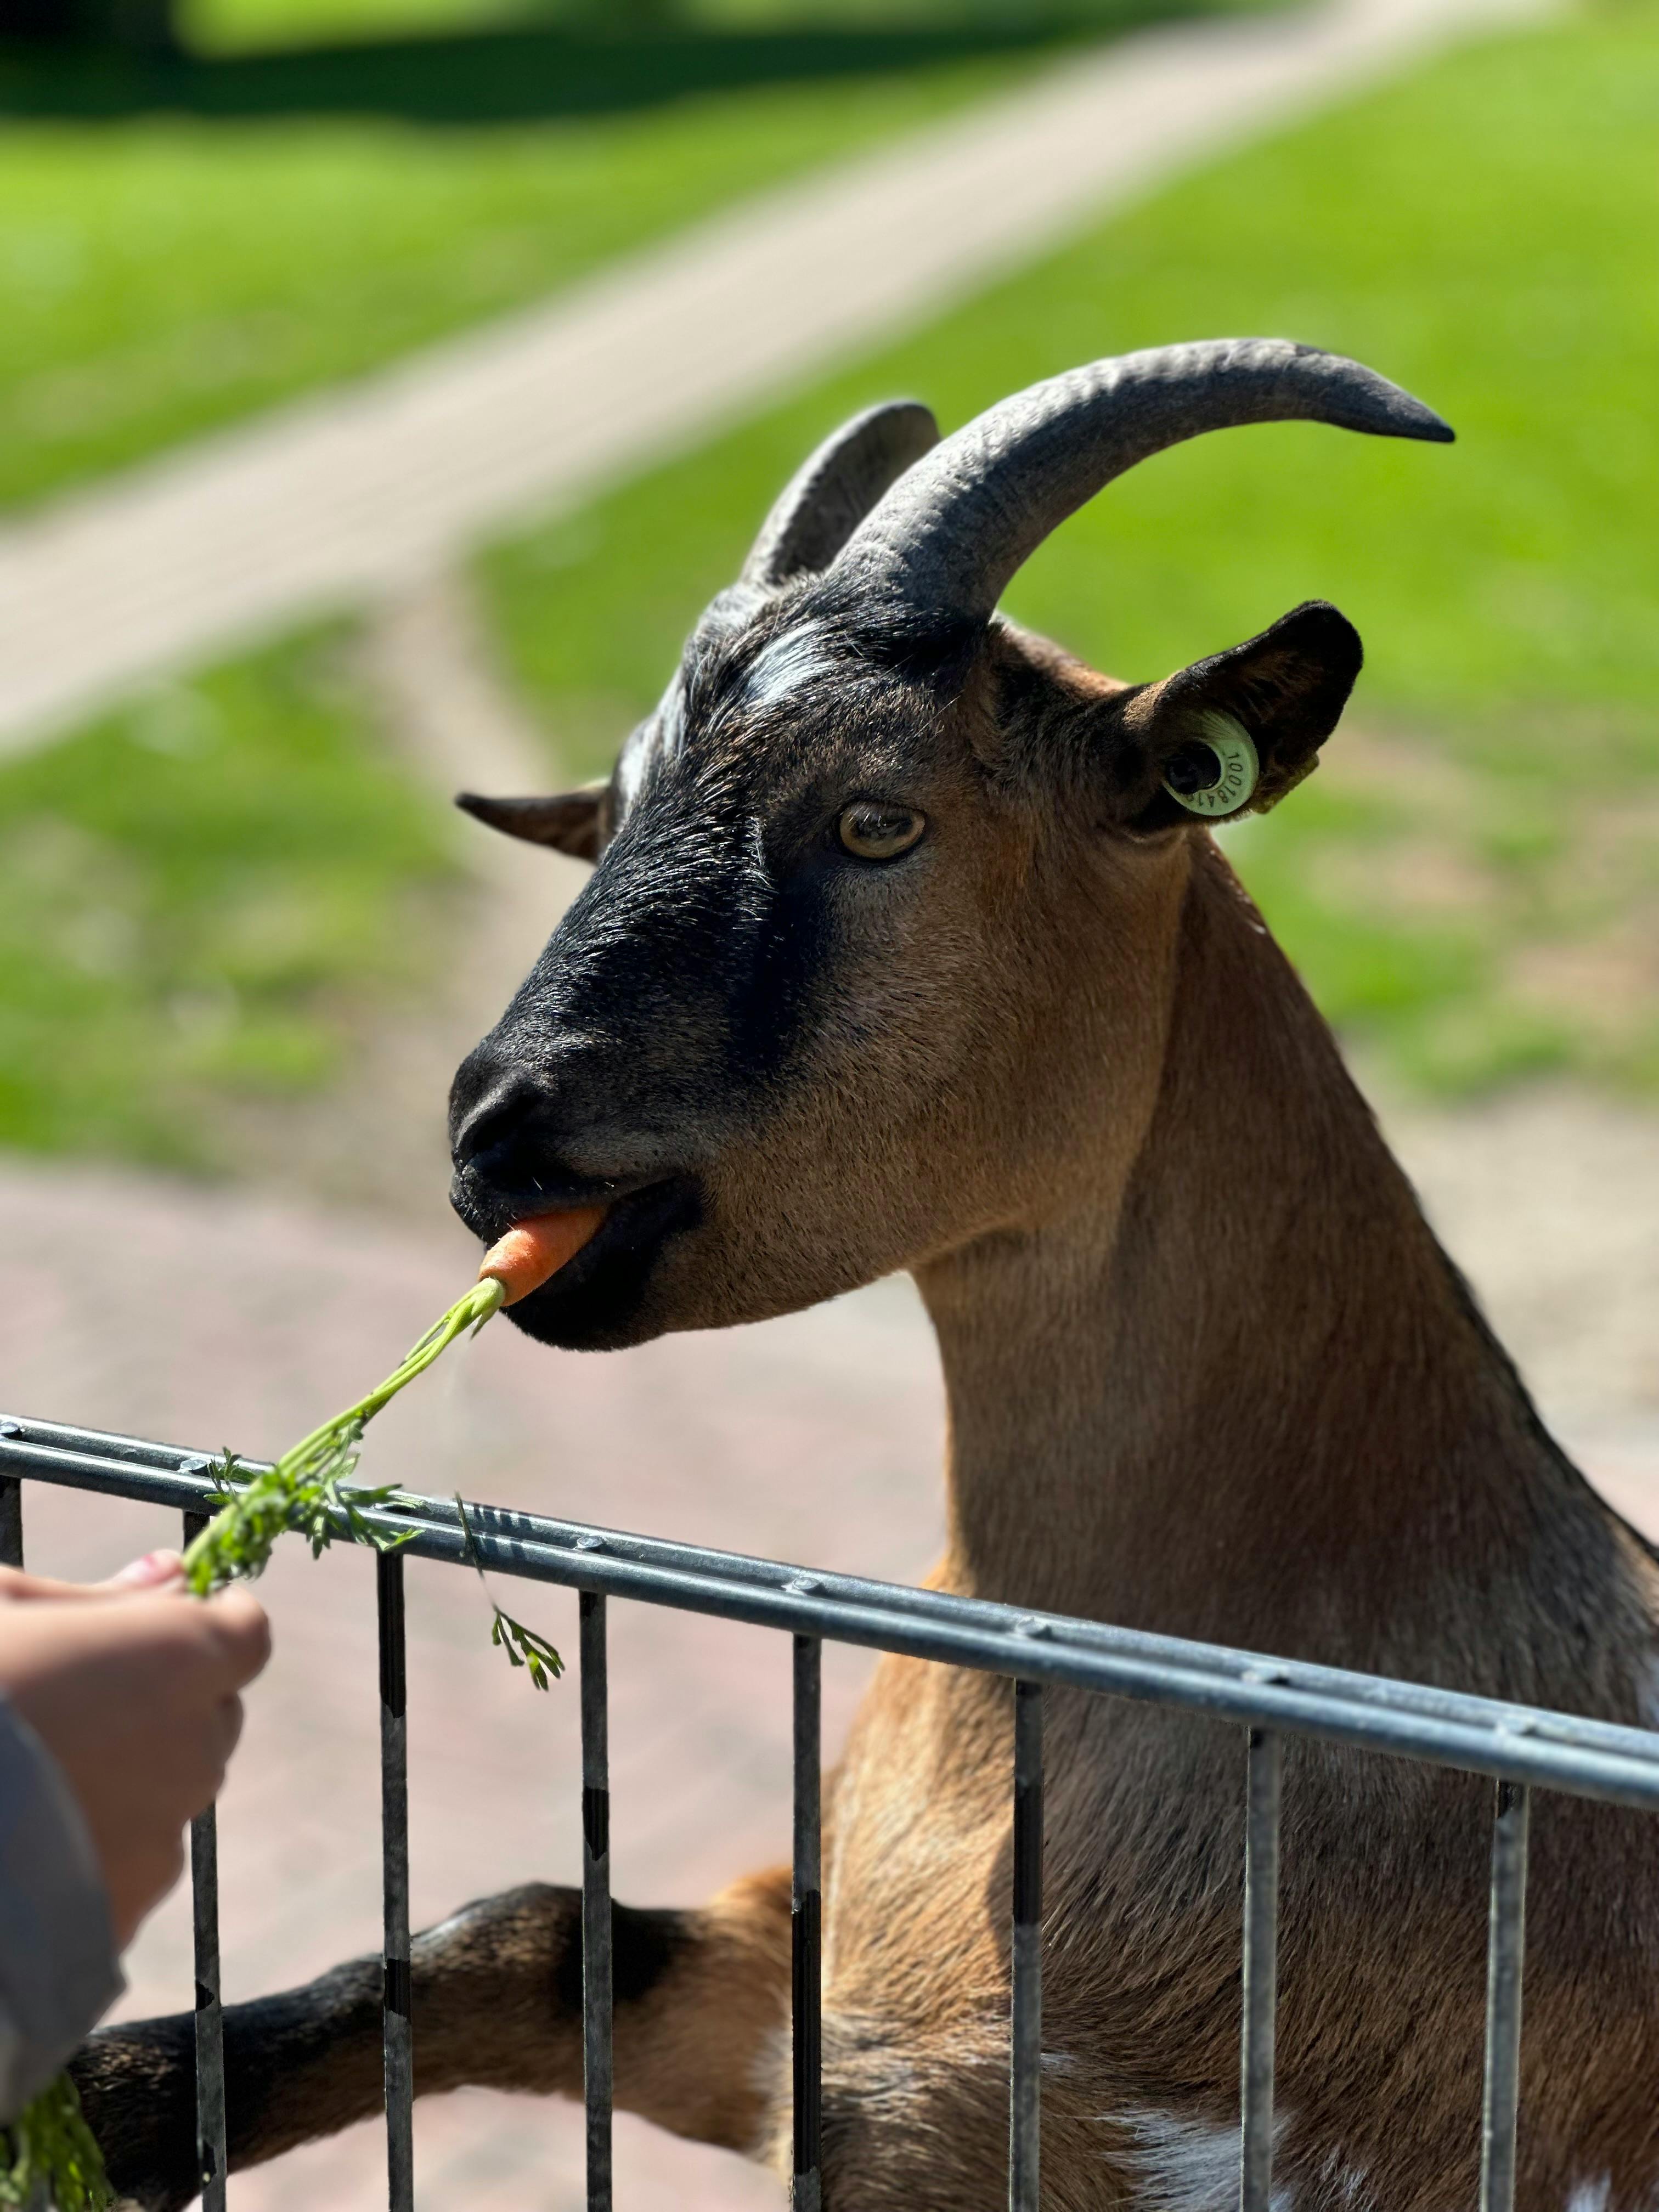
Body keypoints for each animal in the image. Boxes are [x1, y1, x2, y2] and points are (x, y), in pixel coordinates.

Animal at [76, 339, 1659, 2211]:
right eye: (617, 806)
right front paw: (117, 2095)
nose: (496, 1139)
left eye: (878, 818)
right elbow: (540, 1928)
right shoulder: (801, 2019)